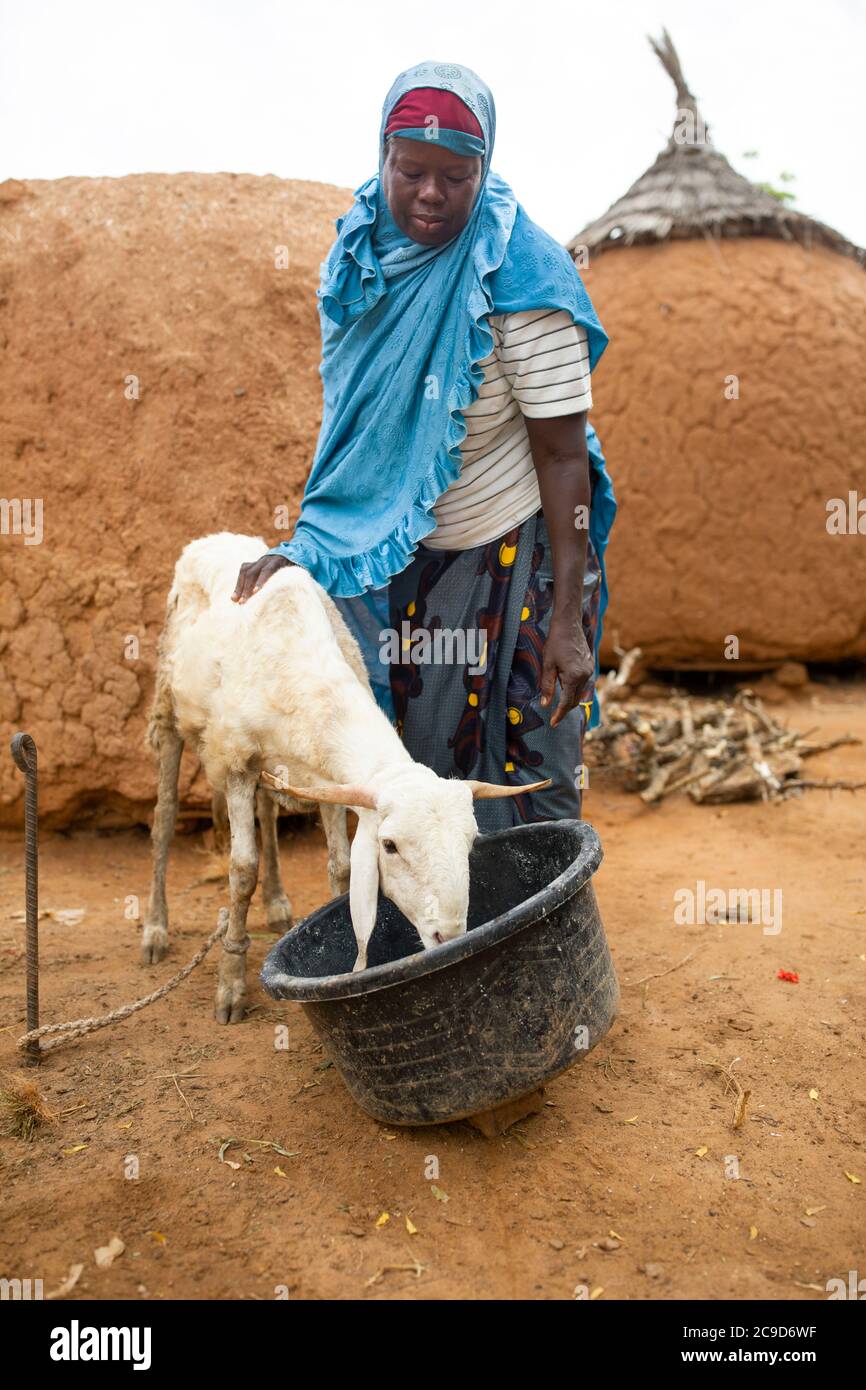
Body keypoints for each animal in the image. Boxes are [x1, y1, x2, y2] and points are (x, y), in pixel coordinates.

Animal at [143, 532, 548, 1022]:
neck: (306, 682)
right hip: (169, 709)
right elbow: (242, 870)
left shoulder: (325, 779)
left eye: (471, 840)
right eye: (389, 846)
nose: (447, 937)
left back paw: (277, 902)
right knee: (165, 817)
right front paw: (231, 984)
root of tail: (214, 537)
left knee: (268, 817)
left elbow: (340, 867)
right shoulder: (237, 760)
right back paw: (155, 927)